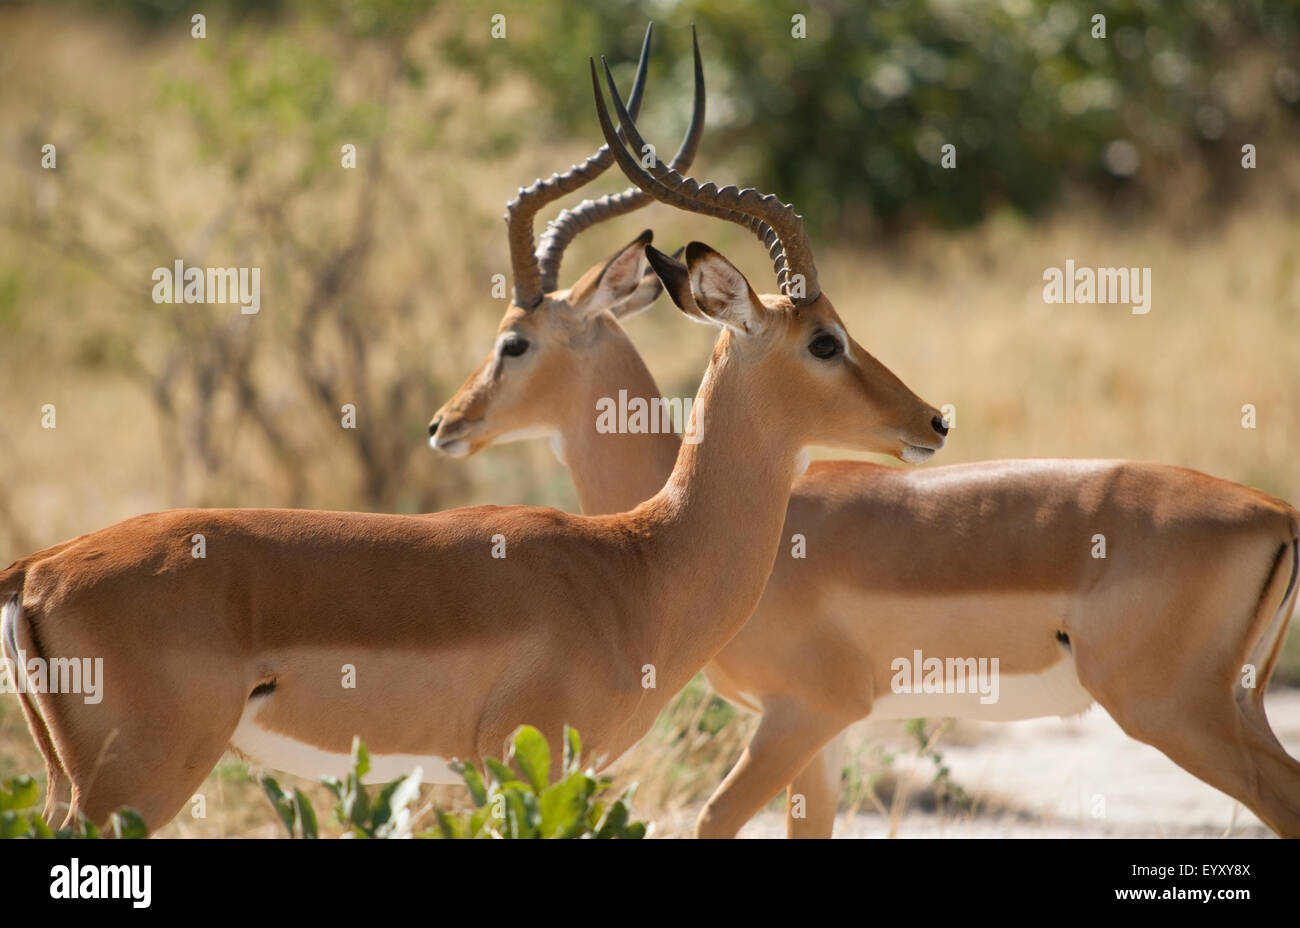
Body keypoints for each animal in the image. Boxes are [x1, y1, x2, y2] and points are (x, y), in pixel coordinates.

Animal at [0, 31, 947, 834]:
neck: (635, 565)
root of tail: (38, 570)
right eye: (824, 340)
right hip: (133, 784)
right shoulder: (533, 766)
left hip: (67, 783)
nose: (934, 421)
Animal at [429, 52, 1300, 839]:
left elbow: (712, 819)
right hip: (1234, 704)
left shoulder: (804, 713)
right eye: (825, 340)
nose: (444, 424)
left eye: (513, 343)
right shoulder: (824, 736)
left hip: (1176, 712)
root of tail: (1276, 514)